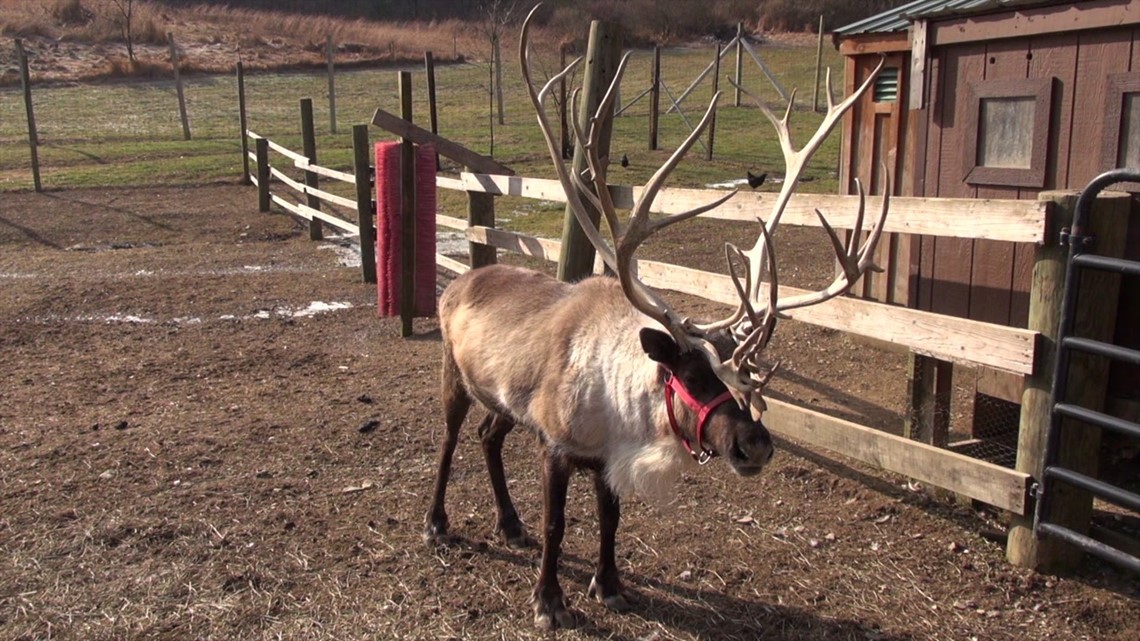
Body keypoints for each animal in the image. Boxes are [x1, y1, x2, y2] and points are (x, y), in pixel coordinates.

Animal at [424, 5, 888, 630]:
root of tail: (459, 281)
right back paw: (438, 524)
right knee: (451, 439)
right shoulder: (557, 446)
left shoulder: (605, 460)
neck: (622, 412)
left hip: (501, 399)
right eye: (690, 374)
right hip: (454, 375)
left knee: (486, 436)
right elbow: (557, 524)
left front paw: (610, 585)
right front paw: (549, 601)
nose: (756, 445)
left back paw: (510, 524)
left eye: (749, 382)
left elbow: (611, 521)